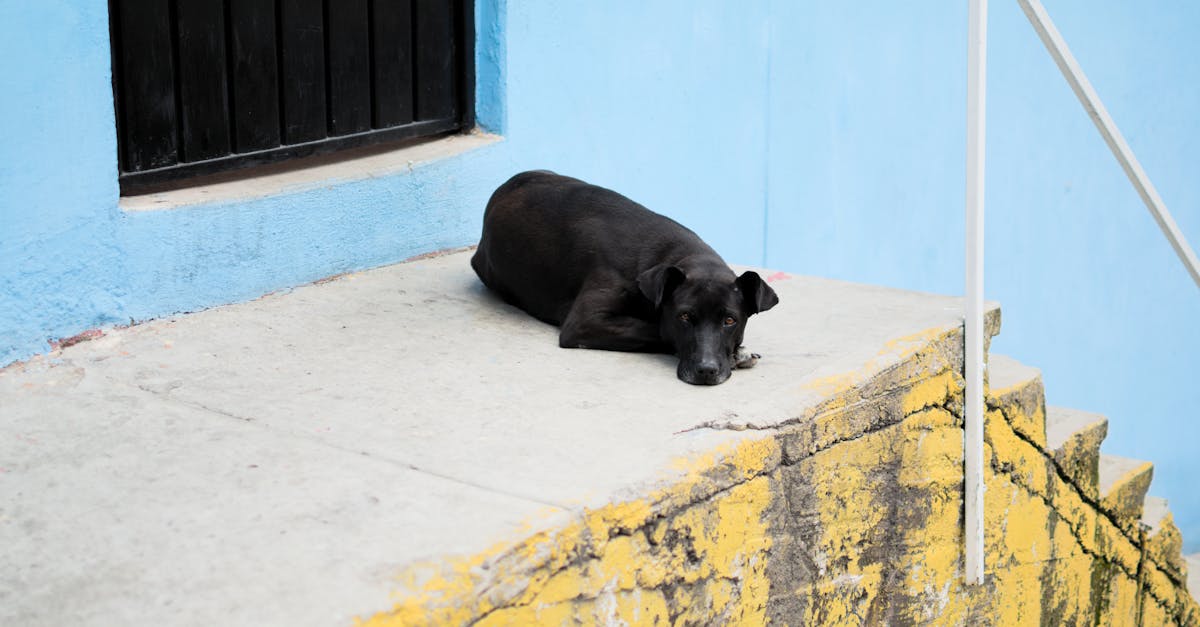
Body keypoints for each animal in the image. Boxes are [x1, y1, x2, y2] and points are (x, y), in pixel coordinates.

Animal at [468, 171, 777, 384]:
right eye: (684, 317)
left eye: (730, 321)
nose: (706, 370)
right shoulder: (584, 323)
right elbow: (656, 329)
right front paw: (737, 355)